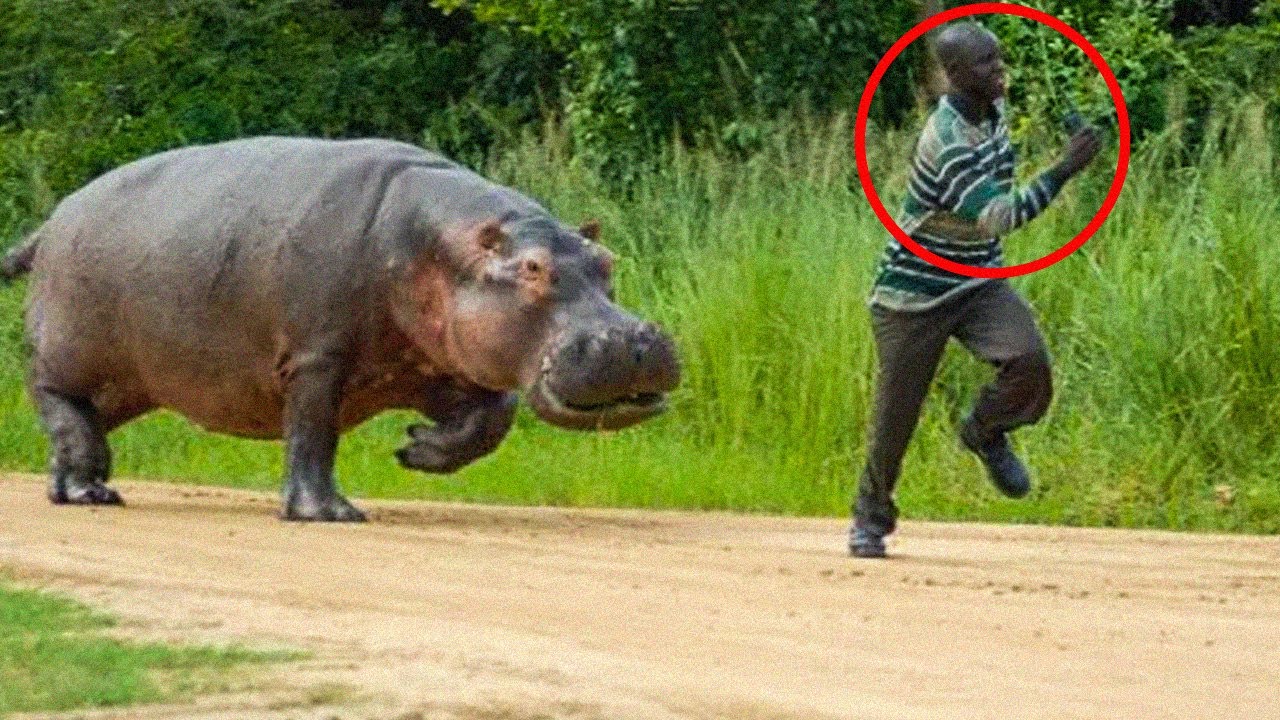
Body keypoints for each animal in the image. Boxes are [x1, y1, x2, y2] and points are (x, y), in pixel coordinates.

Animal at [0, 137, 680, 521]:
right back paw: (93, 496)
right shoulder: (316, 359)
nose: (634, 341)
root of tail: (52, 219)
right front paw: (328, 513)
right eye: (534, 270)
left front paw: (417, 449)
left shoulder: (433, 364)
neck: (440, 248)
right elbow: (312, 434)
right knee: (55, 398)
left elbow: (493, 418)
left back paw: (74, 490)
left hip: (133, 383)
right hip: (76, 354)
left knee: (79, 426)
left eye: (607, 262)